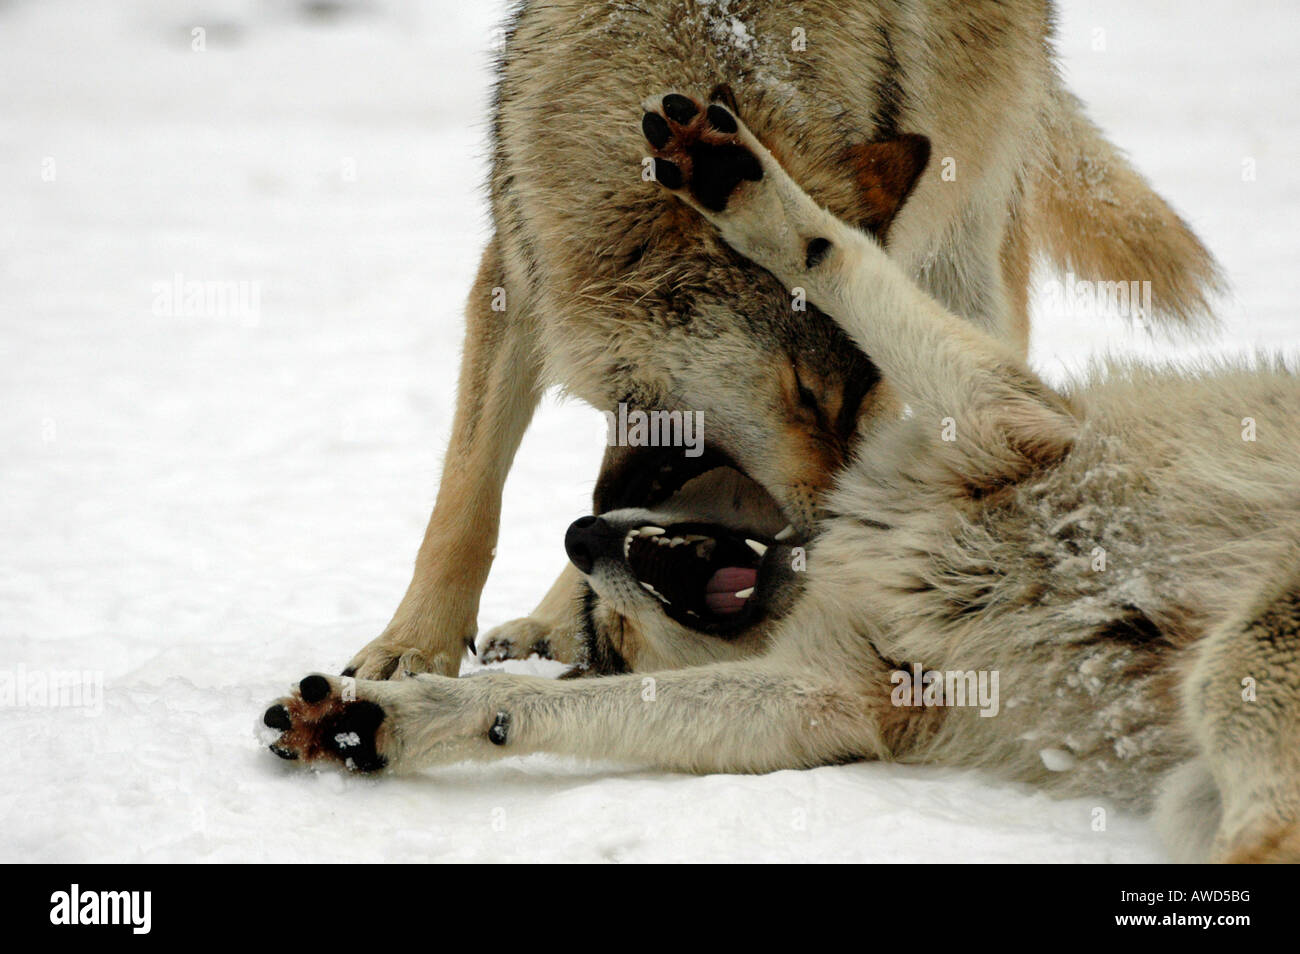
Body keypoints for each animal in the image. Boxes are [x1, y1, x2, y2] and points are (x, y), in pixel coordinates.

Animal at [264, 93, 1299, 863]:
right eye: (616, 641)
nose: (577, 532)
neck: (851, 575)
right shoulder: (826, 703)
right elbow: (541, 707)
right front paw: (368, 723)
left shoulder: (1012, 421)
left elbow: (831, 252)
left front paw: (739, 181)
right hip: (1200, 760)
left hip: (1243, 658)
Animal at [342, 0, 1222, 680]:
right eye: (805, 394)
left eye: (854, 402)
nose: (833, 527)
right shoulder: (519, 271)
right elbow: (468, 497)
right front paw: (411, 648)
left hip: (963, 245)